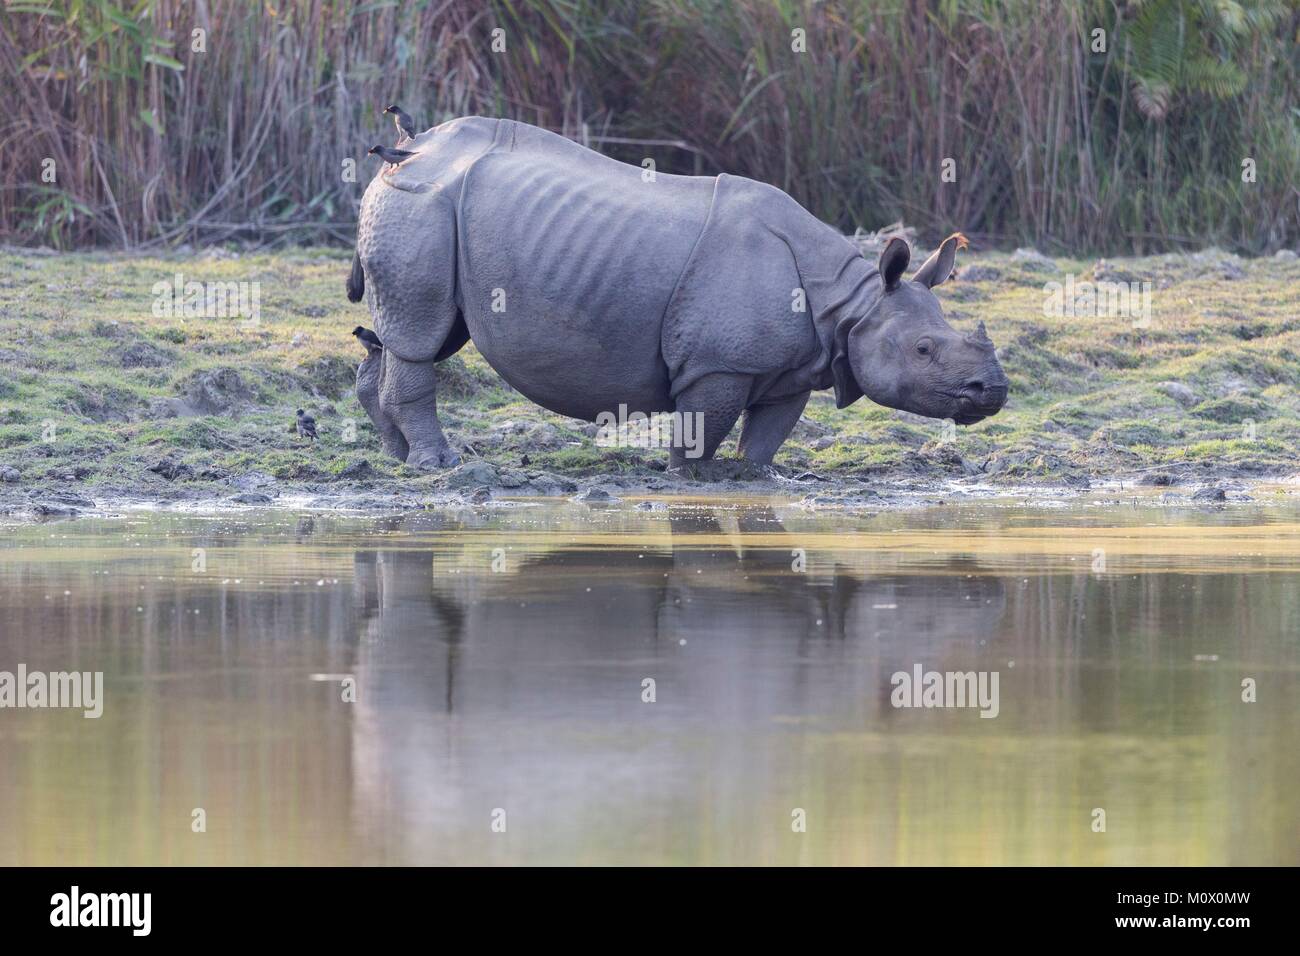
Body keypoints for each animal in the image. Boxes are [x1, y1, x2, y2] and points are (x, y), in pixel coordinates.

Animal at [348, 116, 1008, 469]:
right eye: (923, 351)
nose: (994, 391)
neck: (852, 303)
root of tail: (407, 150)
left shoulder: (795, 363)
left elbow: (767, 435)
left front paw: (754, 480)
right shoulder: (717, 363)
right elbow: (701, 432)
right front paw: (686, 479)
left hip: (426, 211)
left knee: (412, 336)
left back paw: (398, 459)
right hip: (419, 207)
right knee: (419, 336)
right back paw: (439, 464)